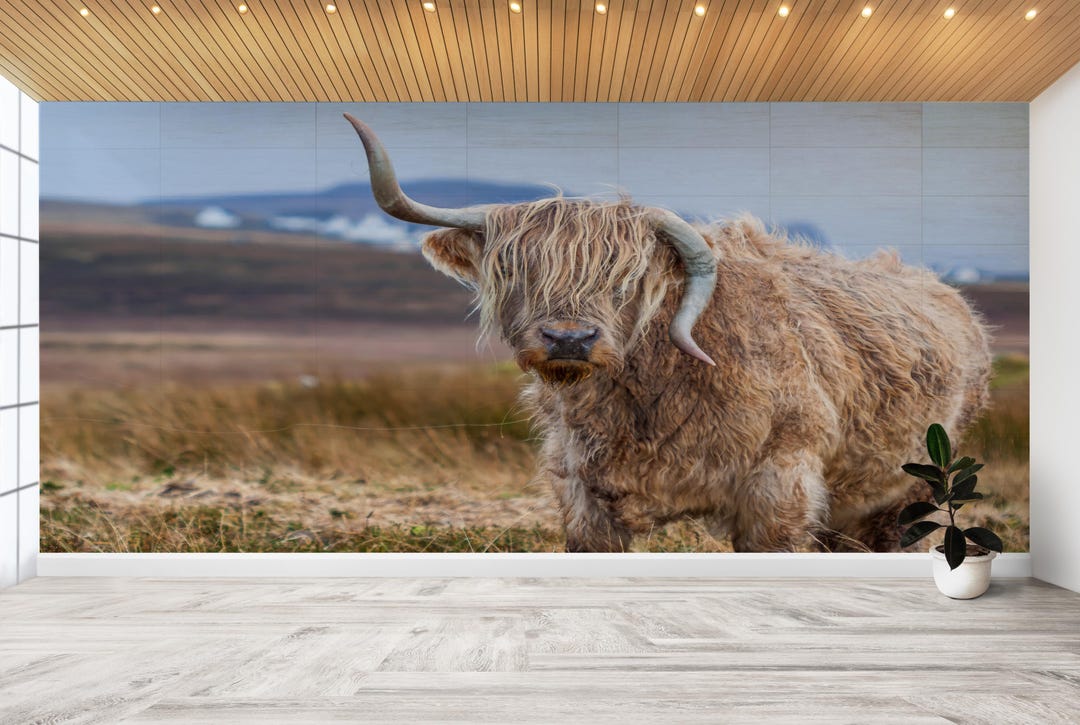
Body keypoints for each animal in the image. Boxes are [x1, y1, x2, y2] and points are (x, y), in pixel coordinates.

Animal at [344, 114, 993, 553]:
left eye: (628, 277)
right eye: (517, 269)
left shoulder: (780, 486)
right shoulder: (582, 497)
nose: (569, 339)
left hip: (915, 486)